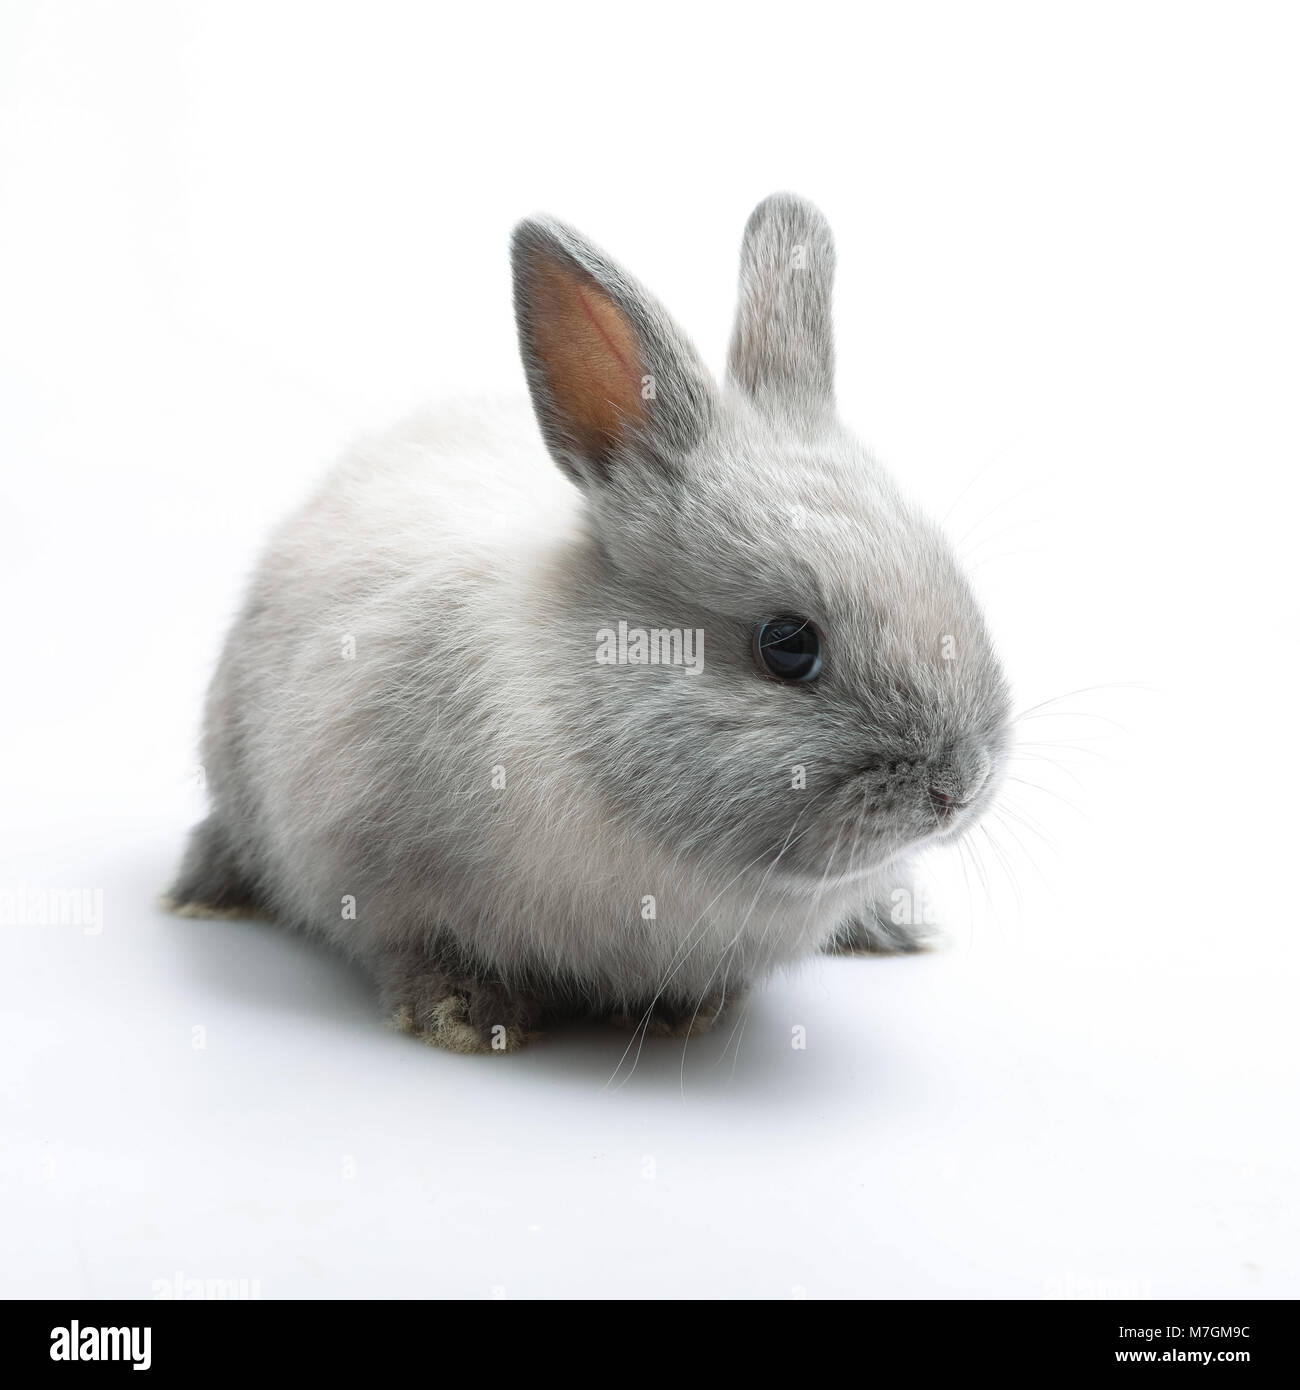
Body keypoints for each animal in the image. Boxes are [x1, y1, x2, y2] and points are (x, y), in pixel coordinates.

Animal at [166, 193, 1012, 1054]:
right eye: (787, 646)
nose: (959, 786)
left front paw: (678, 1013)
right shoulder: (369, 865)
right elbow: (411, 945)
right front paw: (463, 1016)